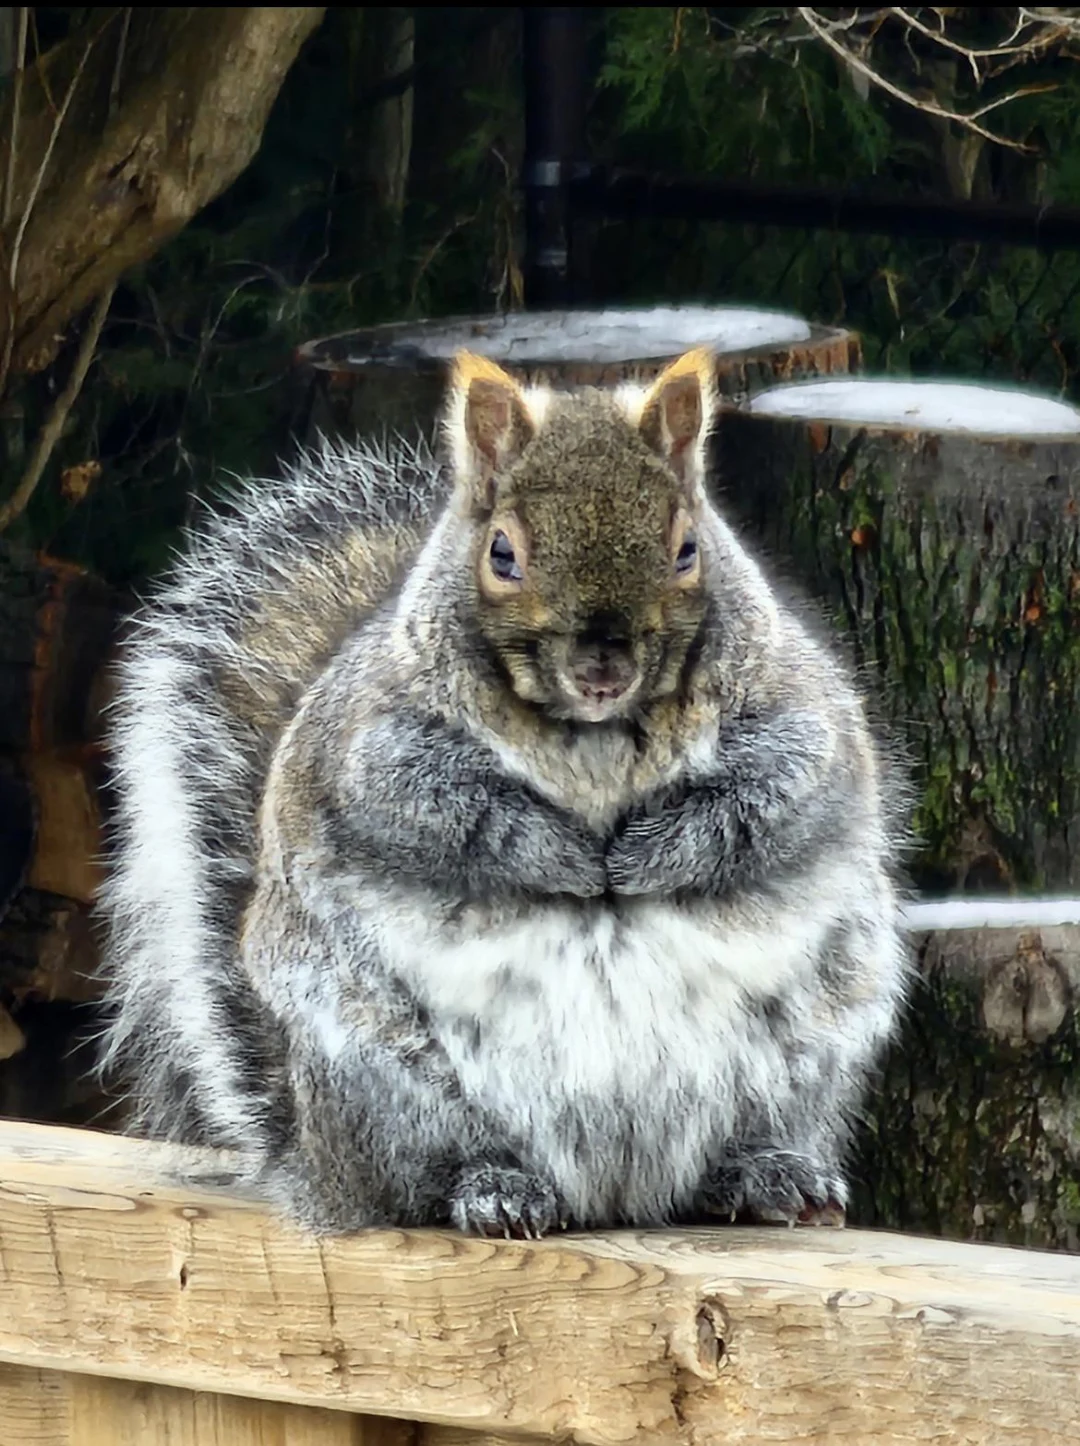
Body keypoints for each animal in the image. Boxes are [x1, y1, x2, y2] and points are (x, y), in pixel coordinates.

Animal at [98, 346, 907, 1238]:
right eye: (503, 553)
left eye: (688, 548)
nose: (602, 664)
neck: (594, 735)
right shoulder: (370, 748)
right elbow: (447, 813)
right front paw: (563, 858)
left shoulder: (805, 723)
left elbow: (767, 799)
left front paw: (648, 857)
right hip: (384, 1075)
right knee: (419, 1181)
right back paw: (493, 1187)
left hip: (806, 1056)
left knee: (733, 1151)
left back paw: (766, 1174)